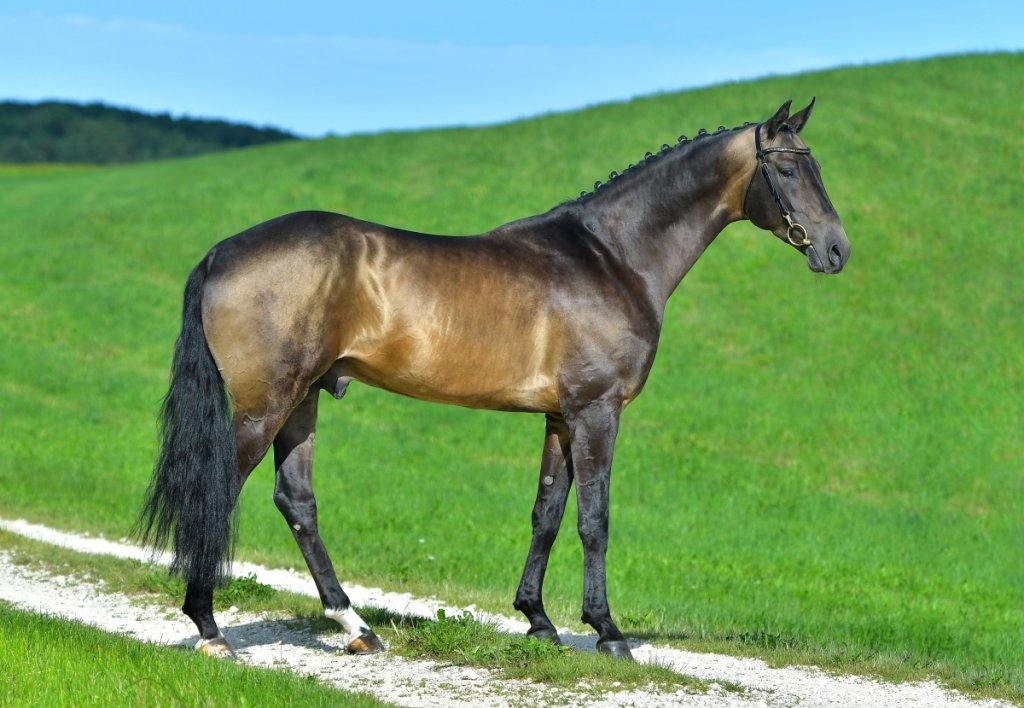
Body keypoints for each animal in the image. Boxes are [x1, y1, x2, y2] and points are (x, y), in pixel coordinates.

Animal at [139, 99, 850, 662]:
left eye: (816, 167)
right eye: (789, 170)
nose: (837, 250)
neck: (611, 256)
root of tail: (220, 252)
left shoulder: (561, 416)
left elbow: (547, 513)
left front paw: (538, 621)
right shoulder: (597, 411)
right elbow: (595, 518)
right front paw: (607, 631)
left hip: (304, 400)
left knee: (298, 503)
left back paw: (357, 627)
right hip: (267, 405)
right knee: (224, 490)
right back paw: (209, 627)